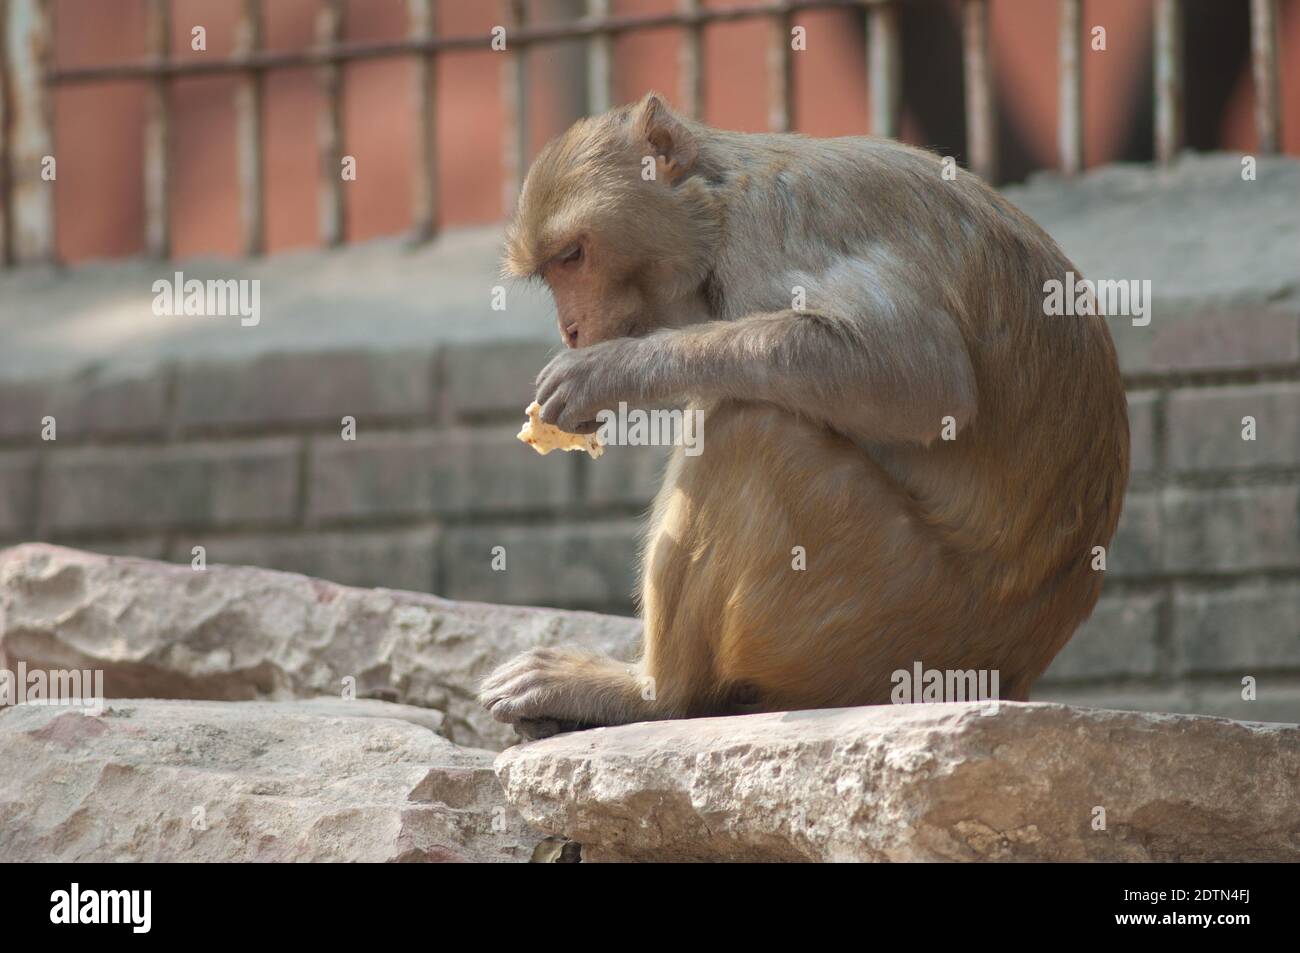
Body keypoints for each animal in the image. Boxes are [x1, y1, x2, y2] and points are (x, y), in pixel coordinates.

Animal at [478, 92, 1129, 738]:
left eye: (573, 256)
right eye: (552, 269)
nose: (571, 329)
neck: (717, 209)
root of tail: (1015, 667)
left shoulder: (768, 240)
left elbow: (925, 376)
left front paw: (608, 373)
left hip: (887, 616)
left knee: (749, 427)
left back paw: (652, 693)